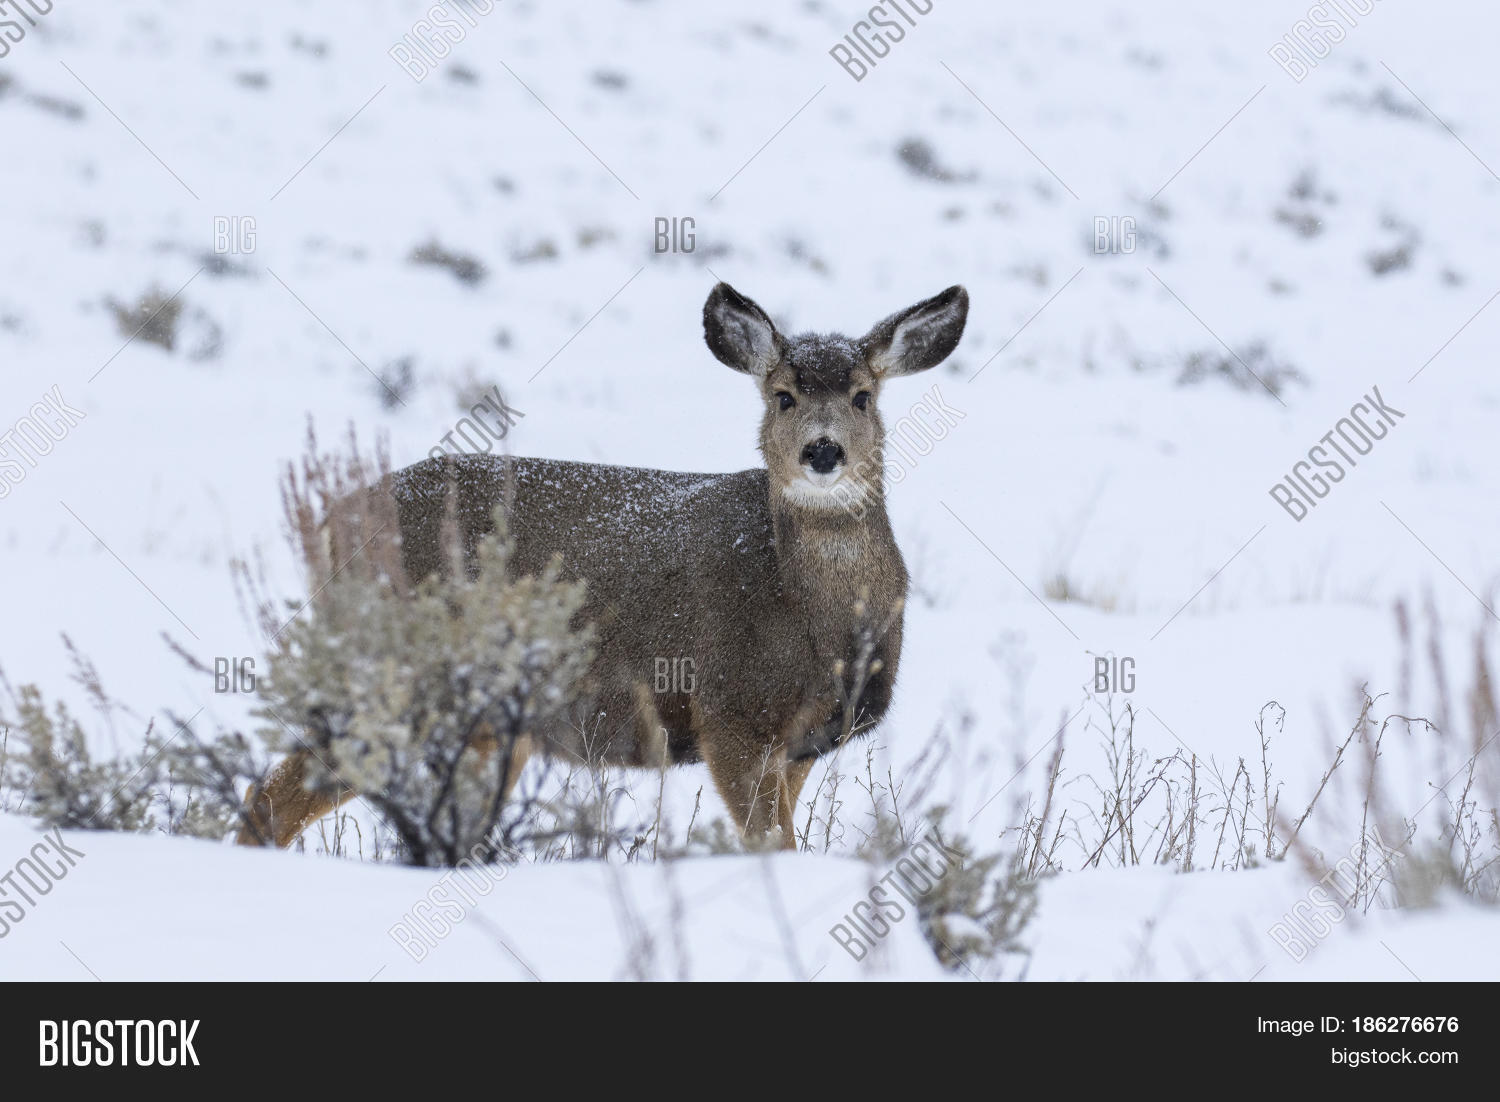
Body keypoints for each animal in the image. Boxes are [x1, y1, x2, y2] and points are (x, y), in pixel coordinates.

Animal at [236, 282, 969, 852]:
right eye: (783, 395)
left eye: (863, 395)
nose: (823, 452)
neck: (814, 615)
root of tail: (331, 520)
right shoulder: (730, 714)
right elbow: (772, 845)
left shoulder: (801, 744)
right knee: (274, 795)